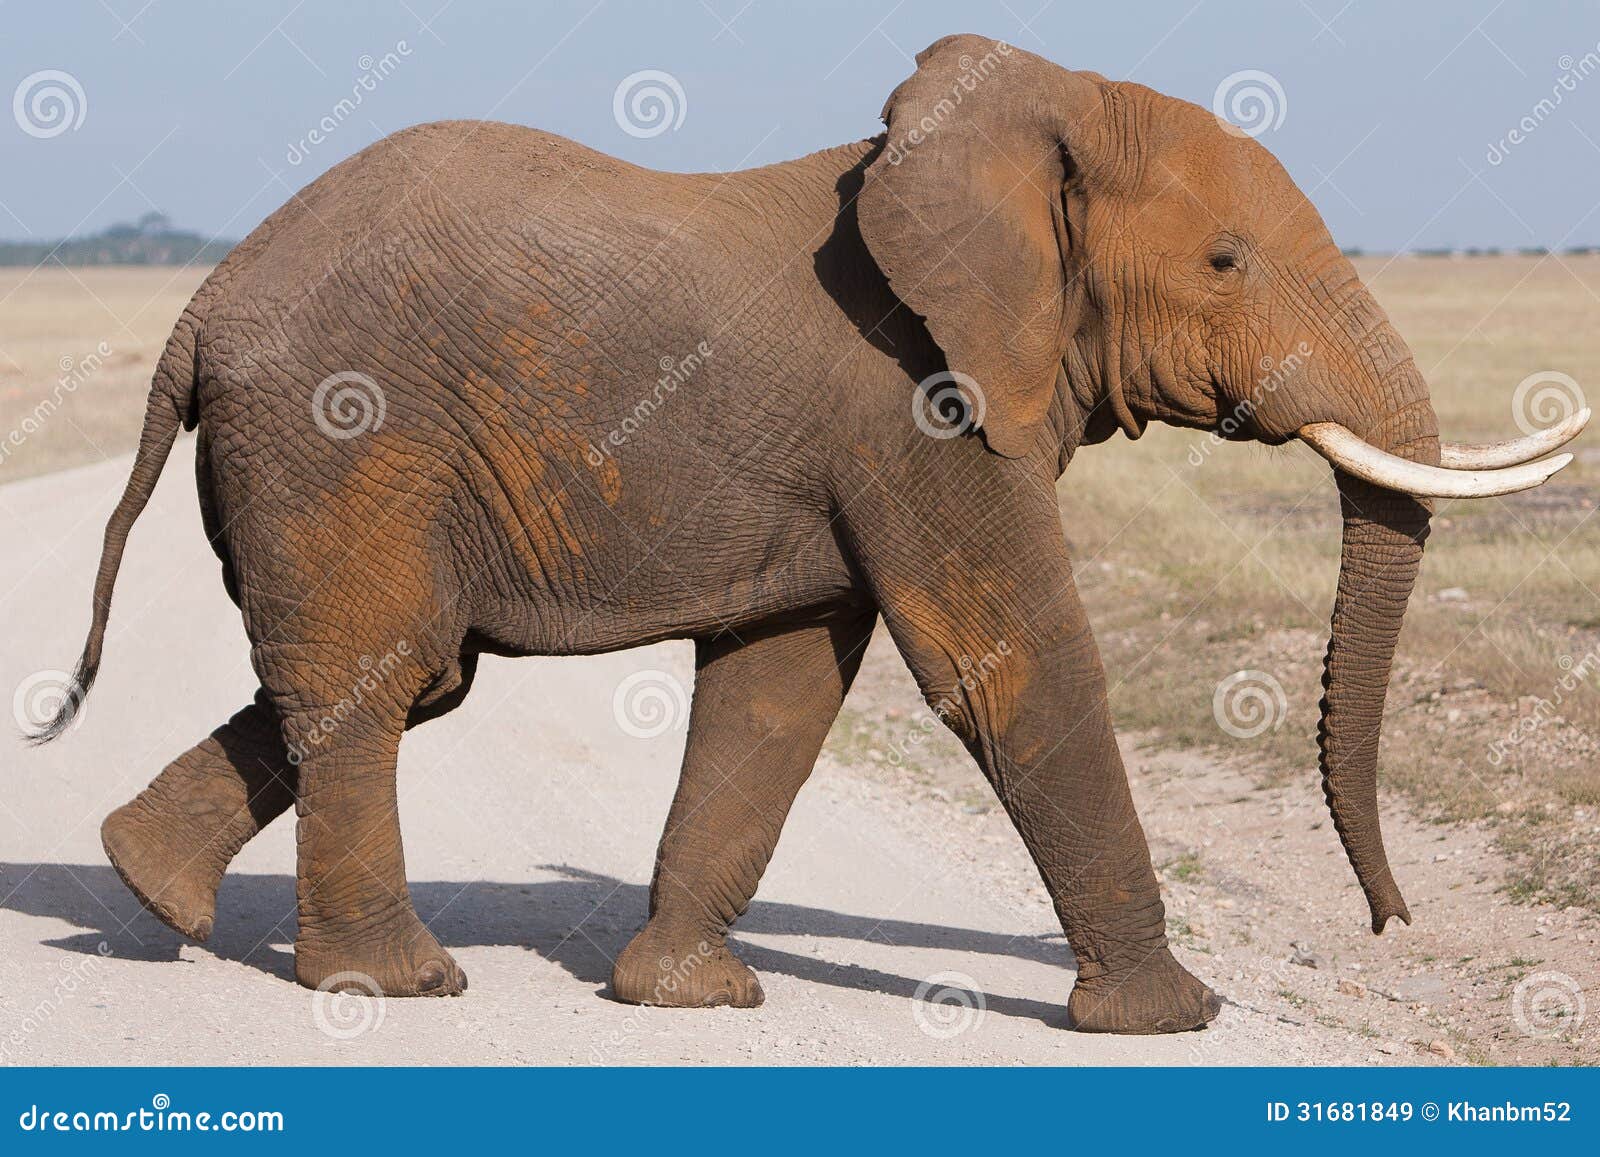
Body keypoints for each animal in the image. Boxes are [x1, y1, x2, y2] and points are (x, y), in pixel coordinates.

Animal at [31, 34, 1583, 1034]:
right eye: (1223, 261)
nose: (1389, 921)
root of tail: (198, 309)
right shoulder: (920, 406)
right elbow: (1010, 668)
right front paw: (1173, 1018)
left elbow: (775, 690)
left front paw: (684, 999)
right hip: (345, 442)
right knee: (378, 678)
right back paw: (394, 989)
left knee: (391, 676)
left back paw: (144, 887)